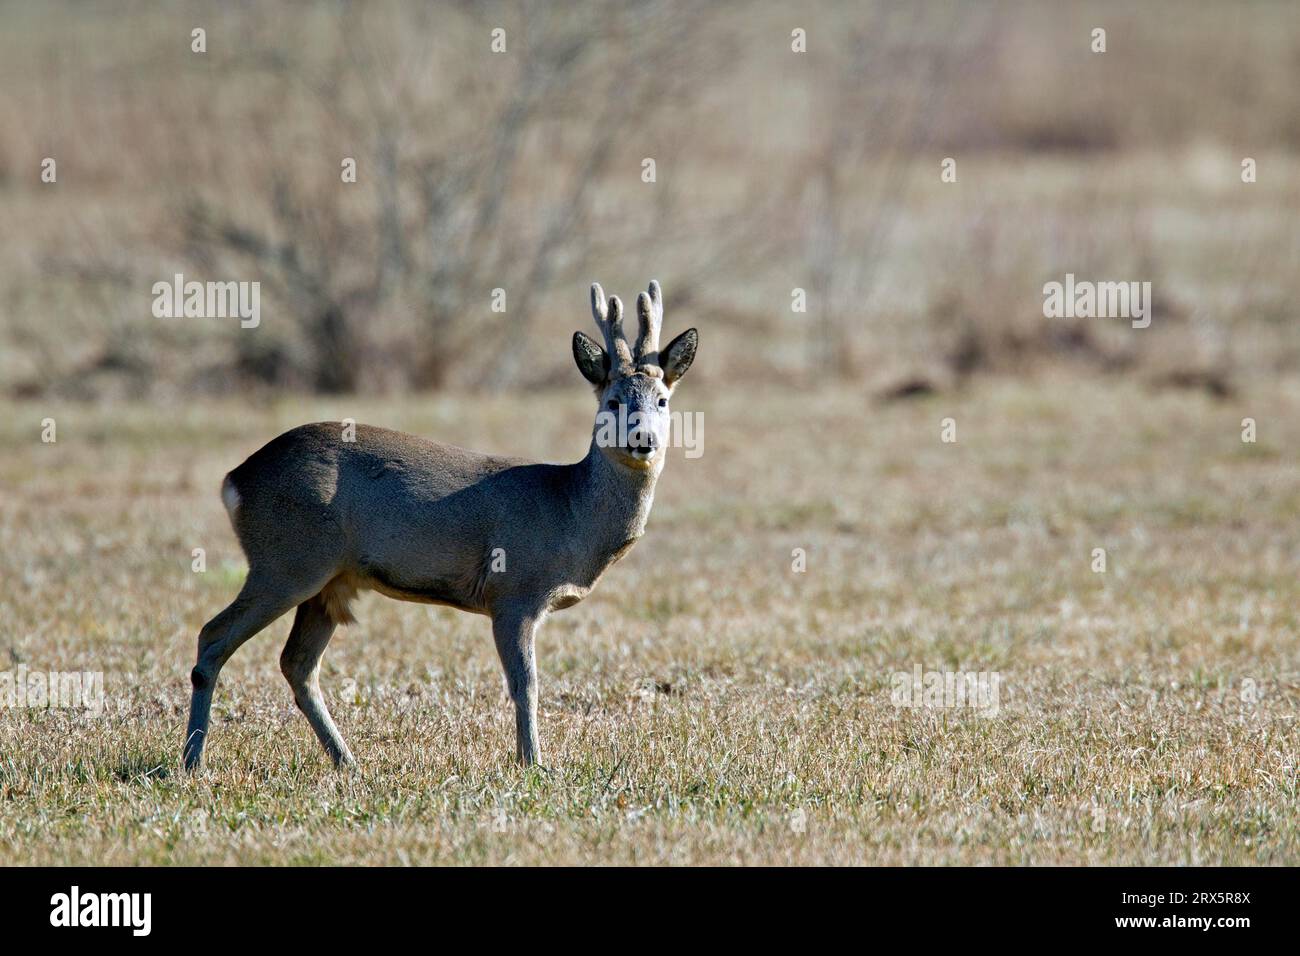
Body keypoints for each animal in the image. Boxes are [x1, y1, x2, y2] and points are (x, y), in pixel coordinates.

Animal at [183, 280, 697, 771]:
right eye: (613, 400)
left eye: (662, 400)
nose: (643, 440)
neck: (569, 509)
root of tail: (235, 479)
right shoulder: (514, 592)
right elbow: (525, 684)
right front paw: (534, 763)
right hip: (287, 560)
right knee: (213, 636)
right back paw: (193, 760)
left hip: (329, 582)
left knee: (297, 664)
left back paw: (347, 761)